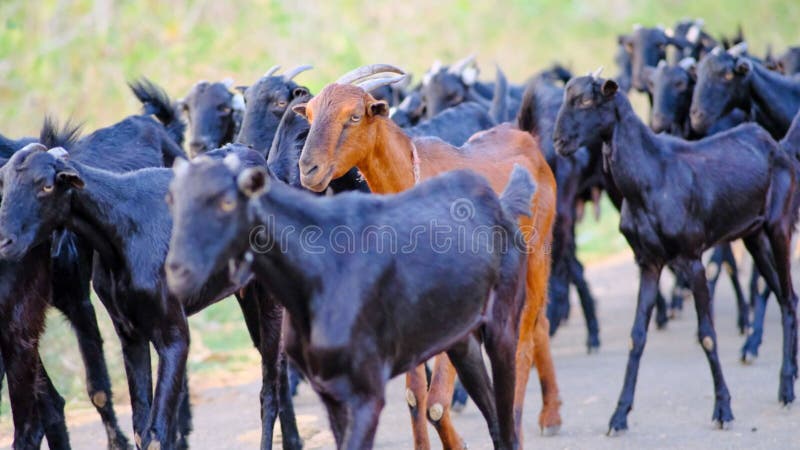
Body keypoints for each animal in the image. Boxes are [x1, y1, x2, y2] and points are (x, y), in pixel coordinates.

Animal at [166, 155, 535, 449]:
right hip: (461, 340)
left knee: (509, 426)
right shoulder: (331, 393)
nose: (178, 270)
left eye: (227, 203)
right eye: (173, 201)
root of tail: (501, 203)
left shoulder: (367, 394)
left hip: (502, 327)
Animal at [294, 64, 561, 447]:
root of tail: (527, 136)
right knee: (539, 326)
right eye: (311, 115)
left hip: (539, 251)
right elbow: (414, 394)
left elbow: (435, 401)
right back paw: (550, 414)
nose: (308, 170)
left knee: (525, 338)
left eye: (354, 116)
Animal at [553, 72, 798, 433]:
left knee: (790, 297)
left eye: (585, 101)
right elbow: (636, 336)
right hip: (752, 234)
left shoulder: (691, 258)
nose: (558, 142)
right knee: (783, 295)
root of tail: (779, 147)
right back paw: (788, 378)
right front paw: (619, 416)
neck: (651, 177)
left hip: (779, 225)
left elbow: (707, 334)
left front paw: (723, 409)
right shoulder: (648, 261)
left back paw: (786, 388)